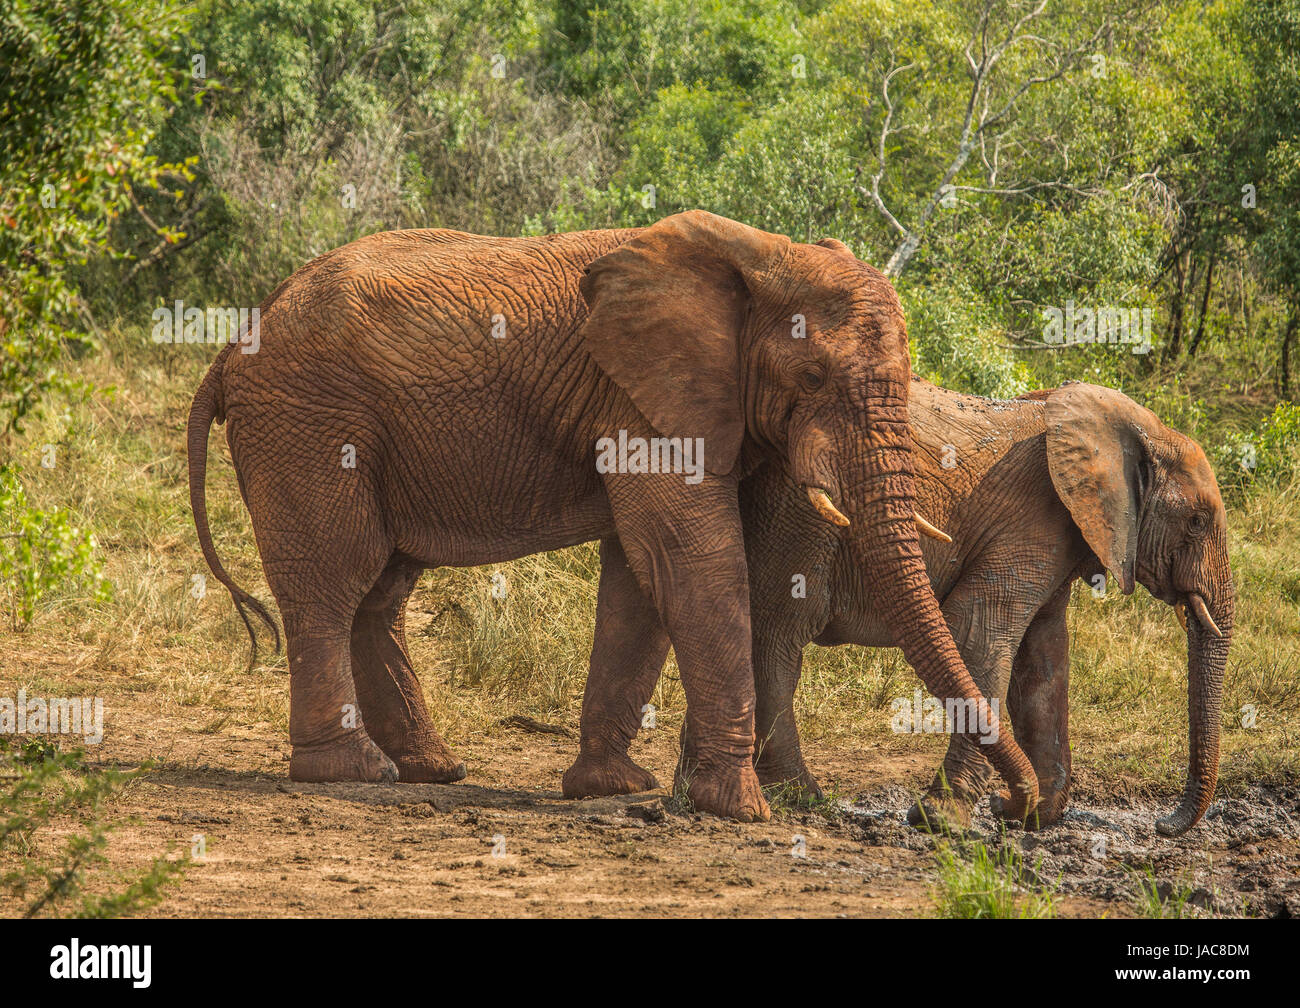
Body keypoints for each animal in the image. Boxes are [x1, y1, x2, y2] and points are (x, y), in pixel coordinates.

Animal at [185, 210, 1039, 822]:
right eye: (816, 377)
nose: (1023, 808)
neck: (763, 255)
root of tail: (234, 342)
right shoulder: (642, 400)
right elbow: (691, 560)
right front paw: (739, 810)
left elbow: (641, 575)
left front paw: (616, 787)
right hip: (311, 422)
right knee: (334, 579)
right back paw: (350, 770)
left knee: (382, 588)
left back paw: (430, 769)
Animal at [571, 377, 1233, 836]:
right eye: (1199, 522)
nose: (1164, 825)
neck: (1127, 424)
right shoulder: (1035, 516)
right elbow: (980, 633)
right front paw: (949, 822)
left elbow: (1045, 662)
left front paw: (1032, 819)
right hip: (800, 511)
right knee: (778, 633)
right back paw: (799, 800)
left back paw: (692, 798)